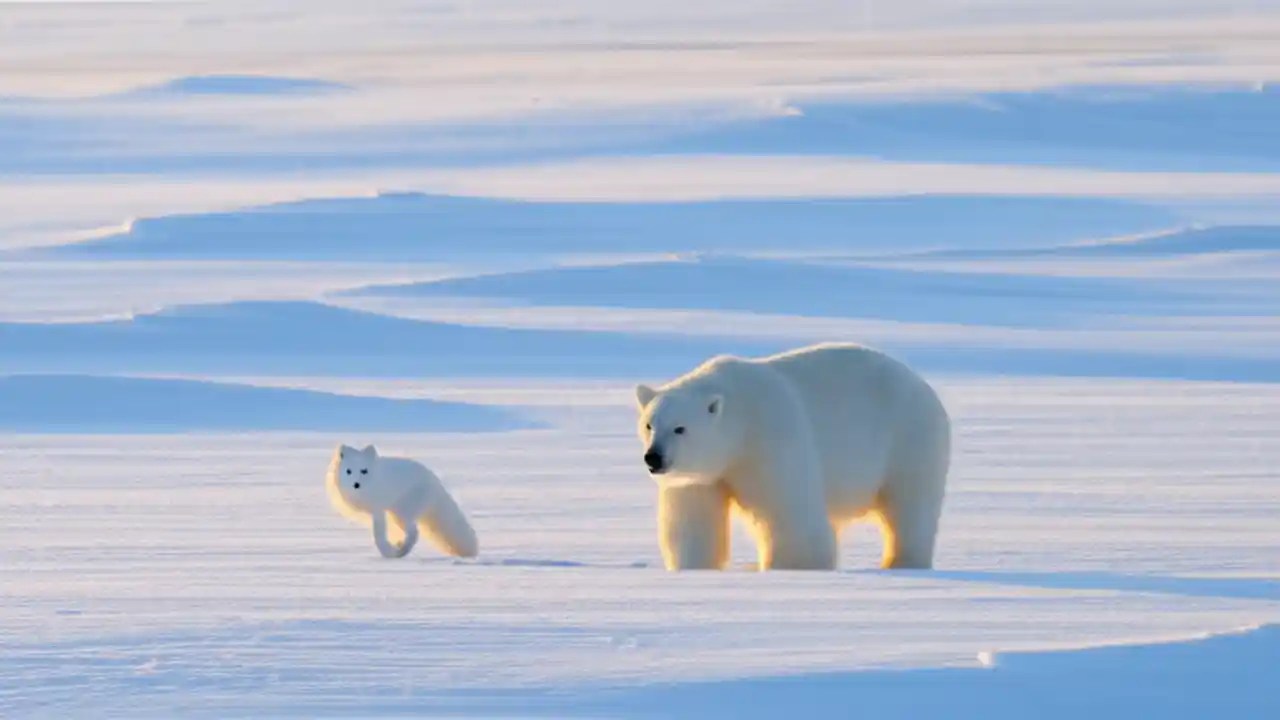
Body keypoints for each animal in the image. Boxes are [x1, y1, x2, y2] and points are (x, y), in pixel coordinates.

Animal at [326, 444, 479, 559]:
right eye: (348, 471)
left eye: (364, 471)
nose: (356, 484)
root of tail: (435, 481)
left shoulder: (378, 509)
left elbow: (378, 535)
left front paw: (387, 552)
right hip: (396, 515)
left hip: (403, 513)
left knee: (414, 533)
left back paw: (400, 551)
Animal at [633, 343, 950, 571]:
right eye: (649, 424)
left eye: (680, 428)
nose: (654, 457)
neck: (739, 419)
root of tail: (923, 384)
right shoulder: (700, 476)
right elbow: (692, 518)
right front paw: (695, 567)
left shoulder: (769, 440)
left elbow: (789, 511)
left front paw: (792, 566)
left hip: (909, 439)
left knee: (910, 506)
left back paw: (901, 562)